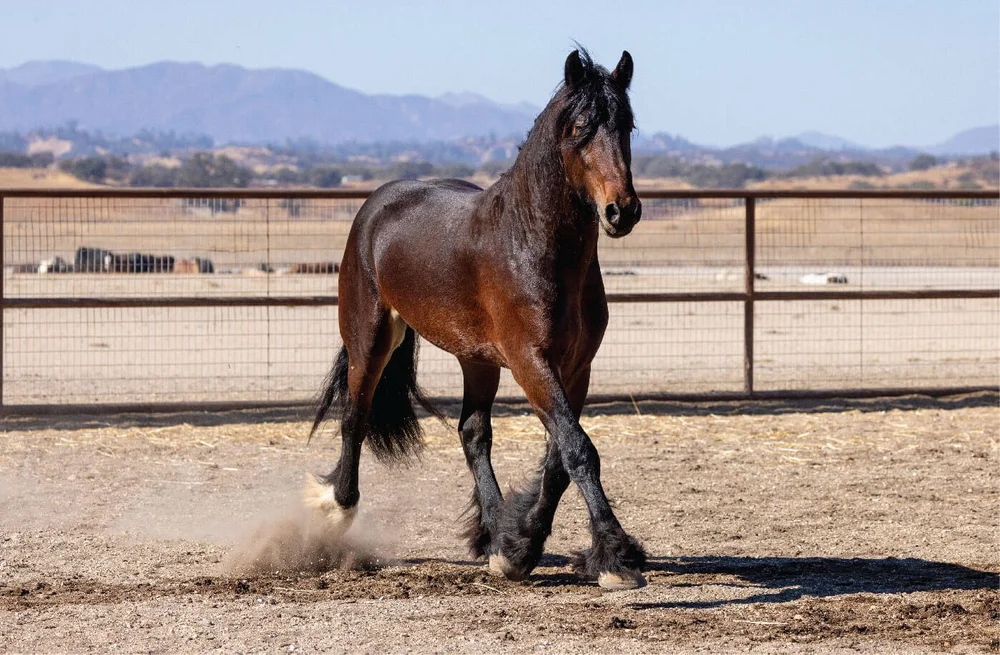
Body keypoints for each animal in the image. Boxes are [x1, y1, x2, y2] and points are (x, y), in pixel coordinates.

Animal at [308, 48, 646, 589]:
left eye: (628, 125)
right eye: (579, 126)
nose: (622, 211)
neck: (529, 244)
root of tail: (378, 204)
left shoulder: (576, 368)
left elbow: (560, 459)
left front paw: (519, 548)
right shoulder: (531, 362)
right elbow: (578, 450)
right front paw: (618, 557)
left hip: (477, 360)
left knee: (472, 434)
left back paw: (494, 538)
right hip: (370, 337)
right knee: (355, 419)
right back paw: (337, 510)